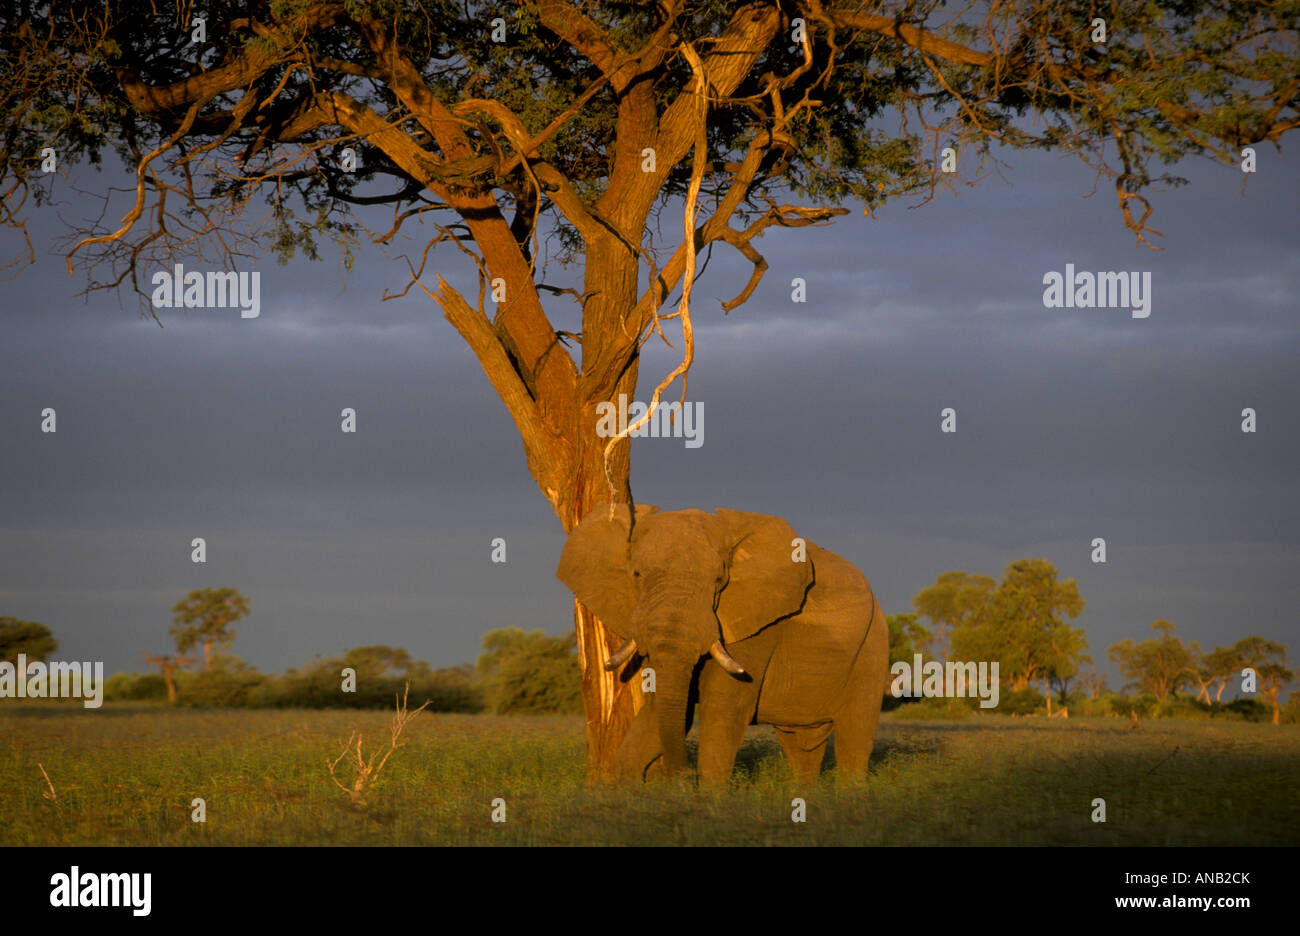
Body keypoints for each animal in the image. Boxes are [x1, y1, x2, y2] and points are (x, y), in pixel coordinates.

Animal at [556, 504, 889, 786]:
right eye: (637, 575)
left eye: (719, 580)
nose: (683, 777)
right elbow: (662, 712)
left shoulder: (755, 626)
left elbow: (723, 712)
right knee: (801, 745)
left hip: (873, 645)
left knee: (854, 738)